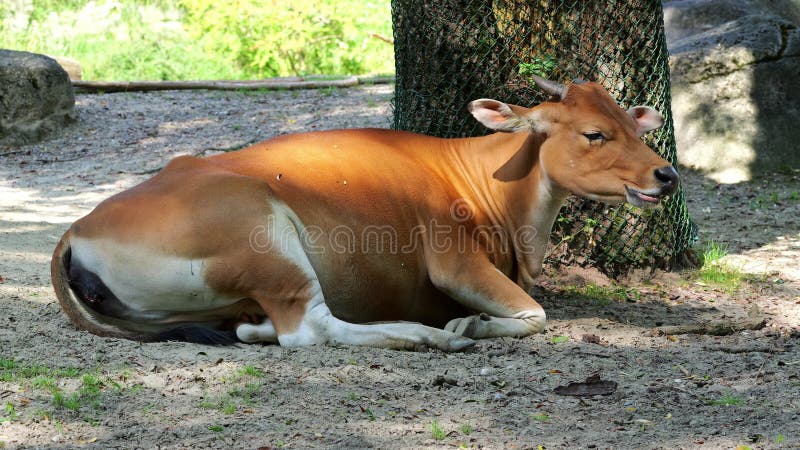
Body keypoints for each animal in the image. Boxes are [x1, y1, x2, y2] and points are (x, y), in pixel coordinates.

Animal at [51, 76, 678, 351]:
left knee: (264, 328)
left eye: (631, 122)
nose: (665, 175)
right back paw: (428, 336)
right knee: (307, 330)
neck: (479, 177)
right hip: (267, 236)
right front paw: (468, 324)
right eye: (594, 133)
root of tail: (76, 232)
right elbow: (535, 314)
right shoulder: (454, 264)